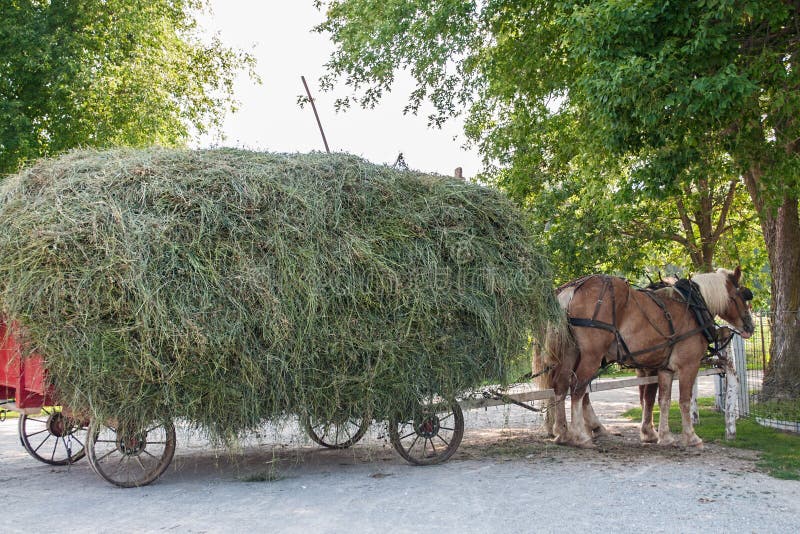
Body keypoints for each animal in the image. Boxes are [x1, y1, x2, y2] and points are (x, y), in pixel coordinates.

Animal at [539, 267, 754, 448]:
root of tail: (574, 288)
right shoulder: (688, 365)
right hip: (592, 356)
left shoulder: (664, 368)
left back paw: (563, 433)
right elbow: (683, 400)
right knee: (577, 389)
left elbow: (663, 400)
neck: (694, 308)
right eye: (742, 295)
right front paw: (691, 437)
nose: (750, 327)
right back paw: (580, 436)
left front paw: (664, 436)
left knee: (561, 385)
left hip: (570, 352)